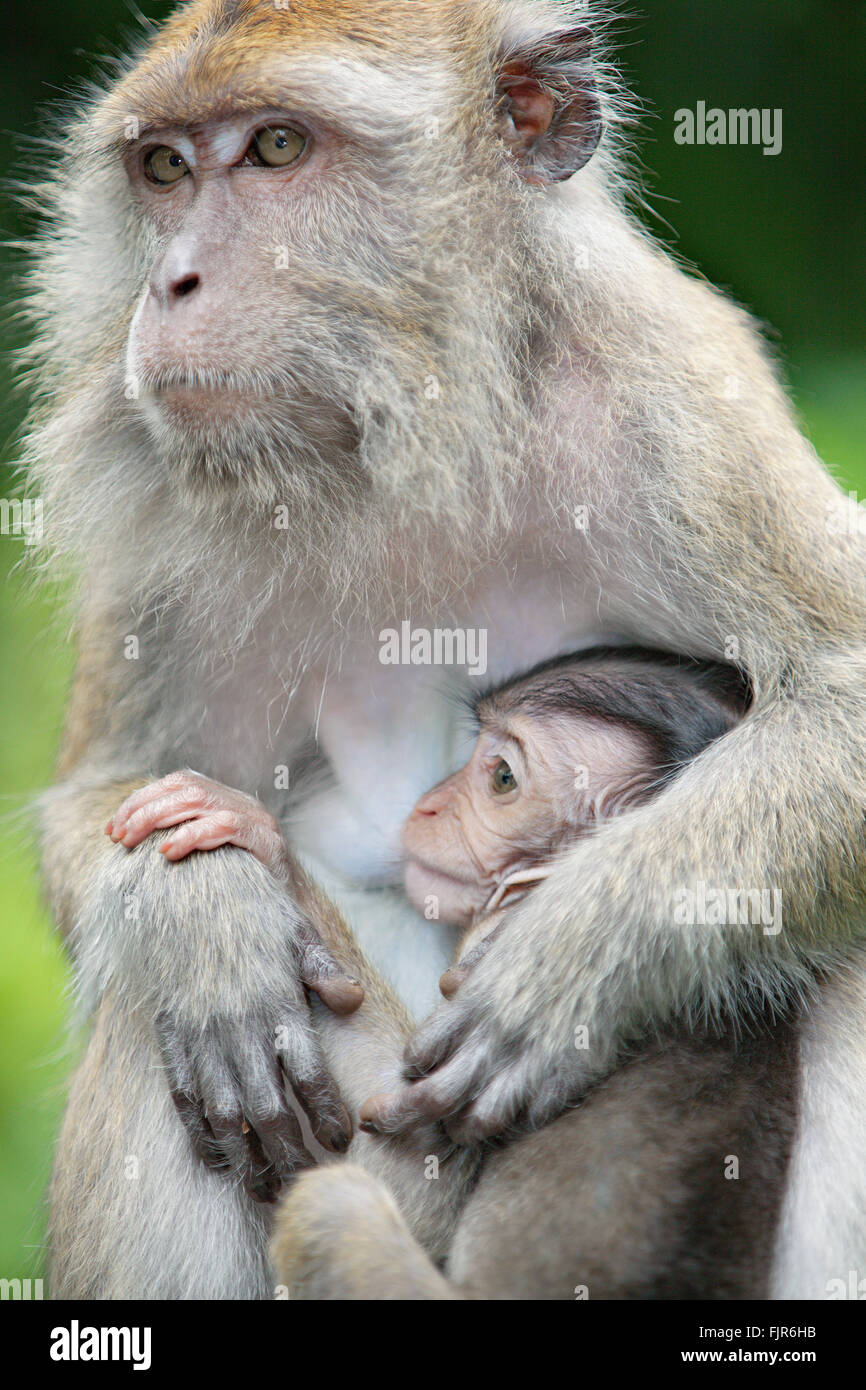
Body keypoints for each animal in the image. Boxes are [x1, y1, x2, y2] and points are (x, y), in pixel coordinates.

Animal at [20, 0, 866, 1299]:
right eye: (163, 169)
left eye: (275, 148)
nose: (169, 282)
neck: (412, 421)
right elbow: (109, 793)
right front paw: (205, 926)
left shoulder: (675, 398)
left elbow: (837, 699)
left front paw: (566, 966)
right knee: (155, 1021)